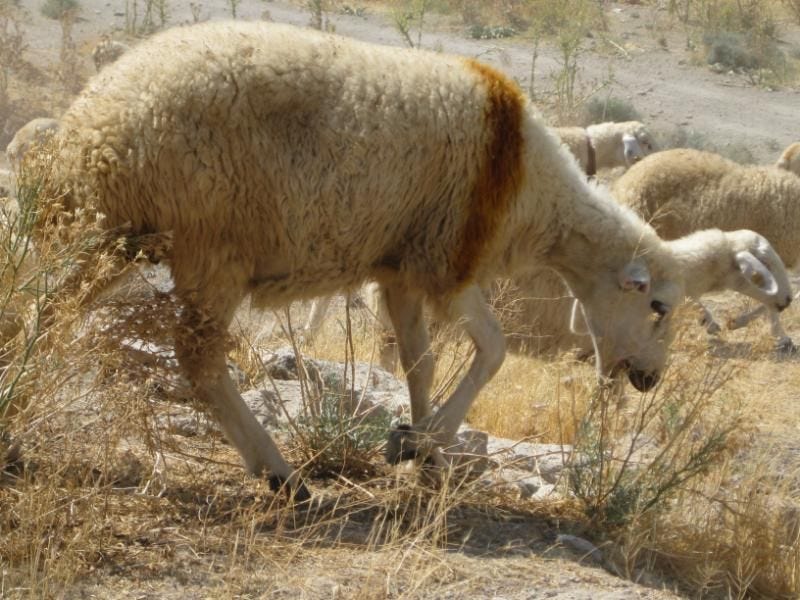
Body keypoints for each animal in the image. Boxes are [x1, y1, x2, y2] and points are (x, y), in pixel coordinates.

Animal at [34, 21, 690, 501]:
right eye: (658, 305)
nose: (651, 380)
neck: (534, 191)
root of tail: (90, 128)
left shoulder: (401, 270)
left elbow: (419, 363)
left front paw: (421, 451)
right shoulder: (446, 259)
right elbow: (494, 349)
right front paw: (430, 440)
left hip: (112, 238)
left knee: (48, 308)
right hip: (210, 243)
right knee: (198, 360)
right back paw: (279, 473)